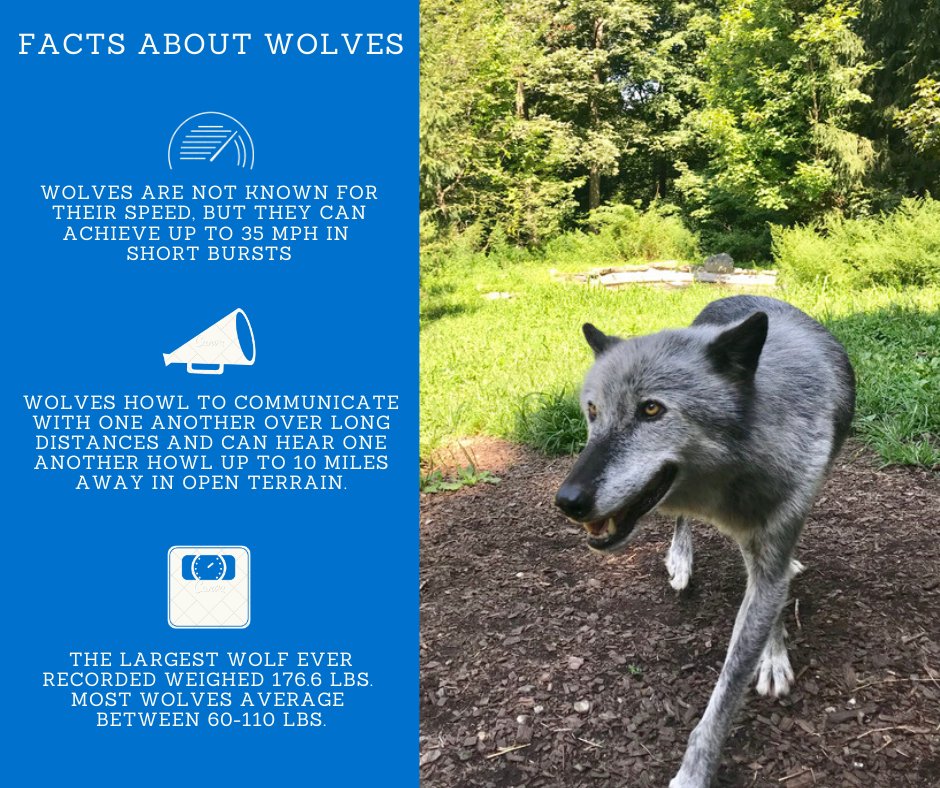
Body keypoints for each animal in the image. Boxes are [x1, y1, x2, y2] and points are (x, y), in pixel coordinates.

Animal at [554, 295, 855, 787]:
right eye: (593, 411)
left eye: (651, 410)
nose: (568, 501)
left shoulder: (771, 558)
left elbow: (728, 690)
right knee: (681, 520)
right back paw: (680, 559)